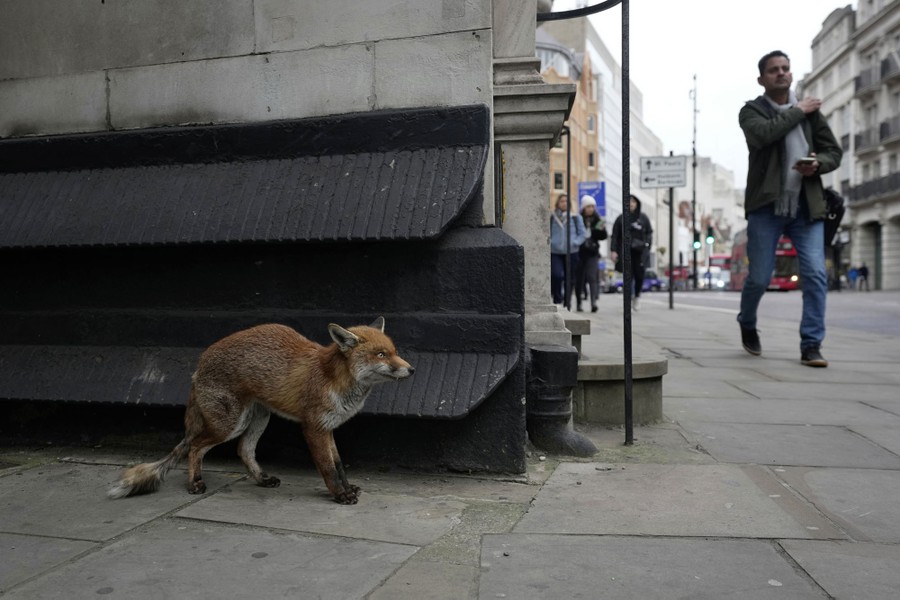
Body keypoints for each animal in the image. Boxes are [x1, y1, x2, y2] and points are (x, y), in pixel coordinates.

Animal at [108, 317, 413, 504]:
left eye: (395, 351)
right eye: (381, 355)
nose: (411, 370)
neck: (333, 379)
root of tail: (199, 362)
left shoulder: (328, 428)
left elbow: (338, 464)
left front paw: (347, 488)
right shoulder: (313, 427)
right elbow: (327, 467)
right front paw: (340, 496)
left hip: (257, 419)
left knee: (243, 450)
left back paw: (262, 479)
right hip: (229, 424)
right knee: (195, 447)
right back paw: (194, 483)